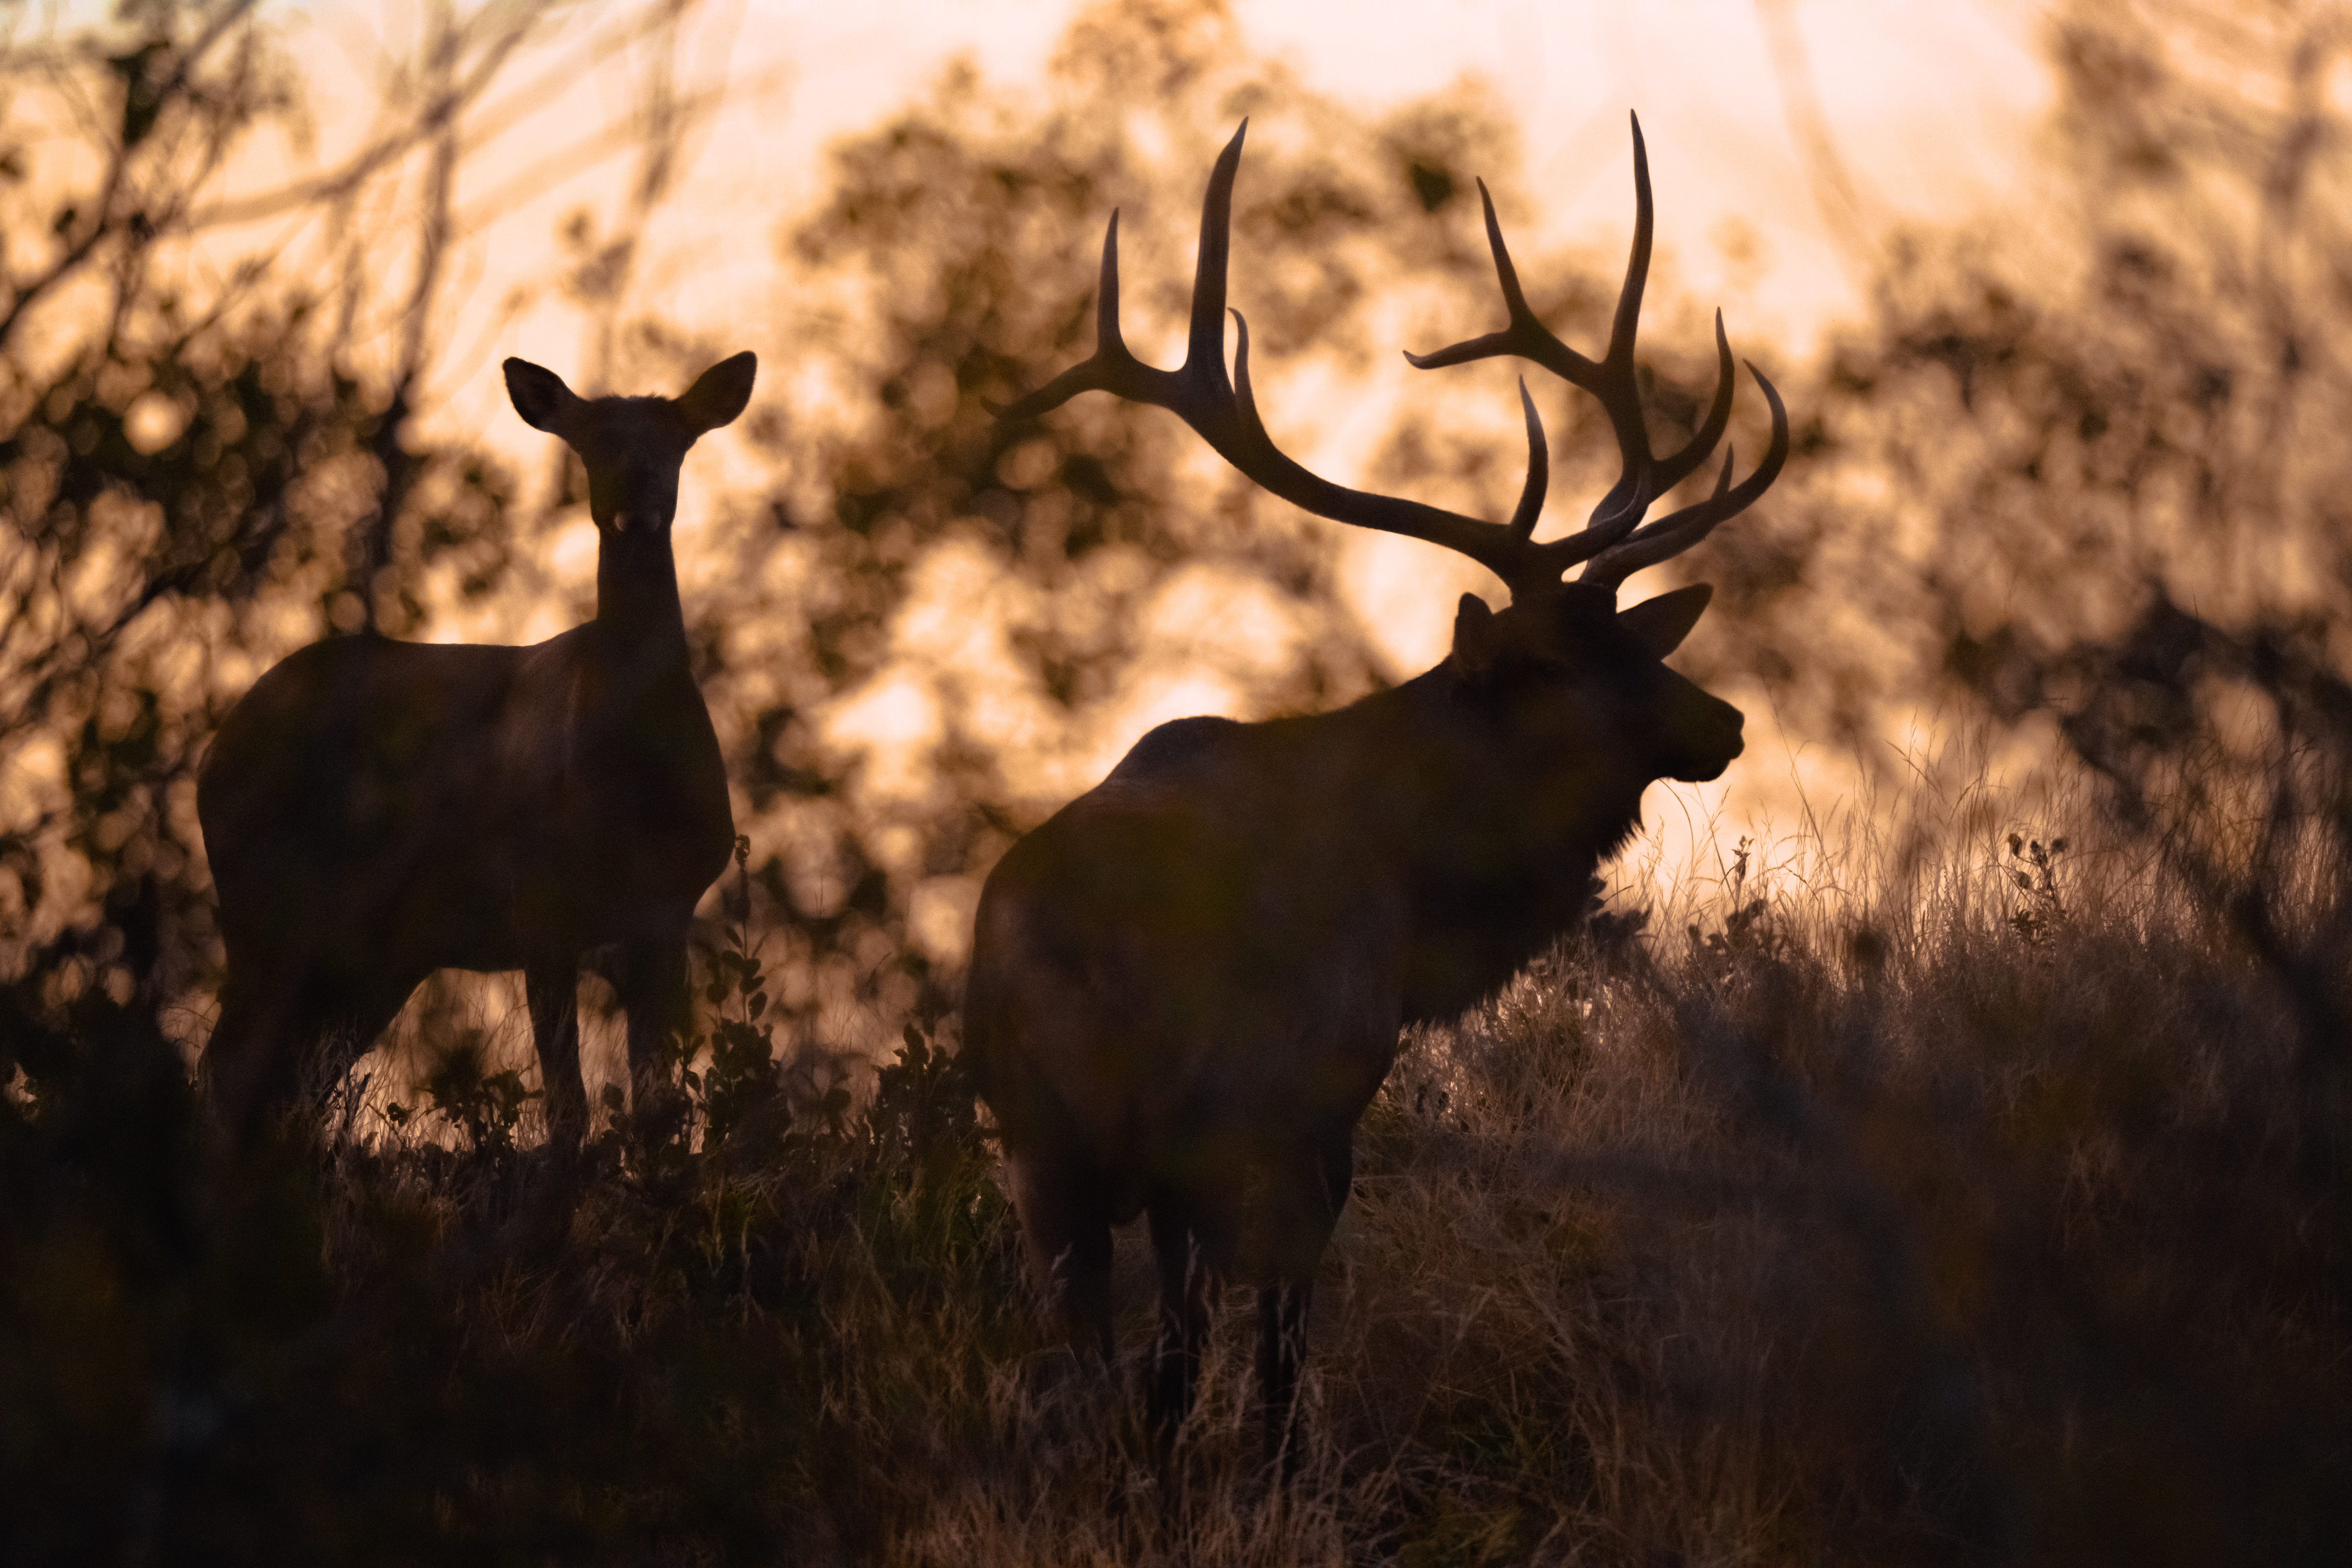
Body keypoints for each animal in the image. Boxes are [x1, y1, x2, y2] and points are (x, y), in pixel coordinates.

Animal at [197, 351, 755, 1151]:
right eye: (590, 441)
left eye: (676, 440)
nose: (634, 498)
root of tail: (211, 757)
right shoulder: (540, 899)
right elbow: (568, 1110)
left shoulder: (666, 911)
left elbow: (656, 1111)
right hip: (263, 896)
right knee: (233, 1065)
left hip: (375, 951)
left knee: (288, 1076)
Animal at [966, 117, 1786, 1471]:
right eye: (1554, 661)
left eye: (1638, 638)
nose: (1721, 722)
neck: (1419, 901)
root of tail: (1044, 943)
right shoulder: (1321, 1090)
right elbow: (1281, 1329)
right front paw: (1281, 1467)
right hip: (1181, 1119)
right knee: (1167, 1350)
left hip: (1043, 1151)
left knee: (1096, 1366)